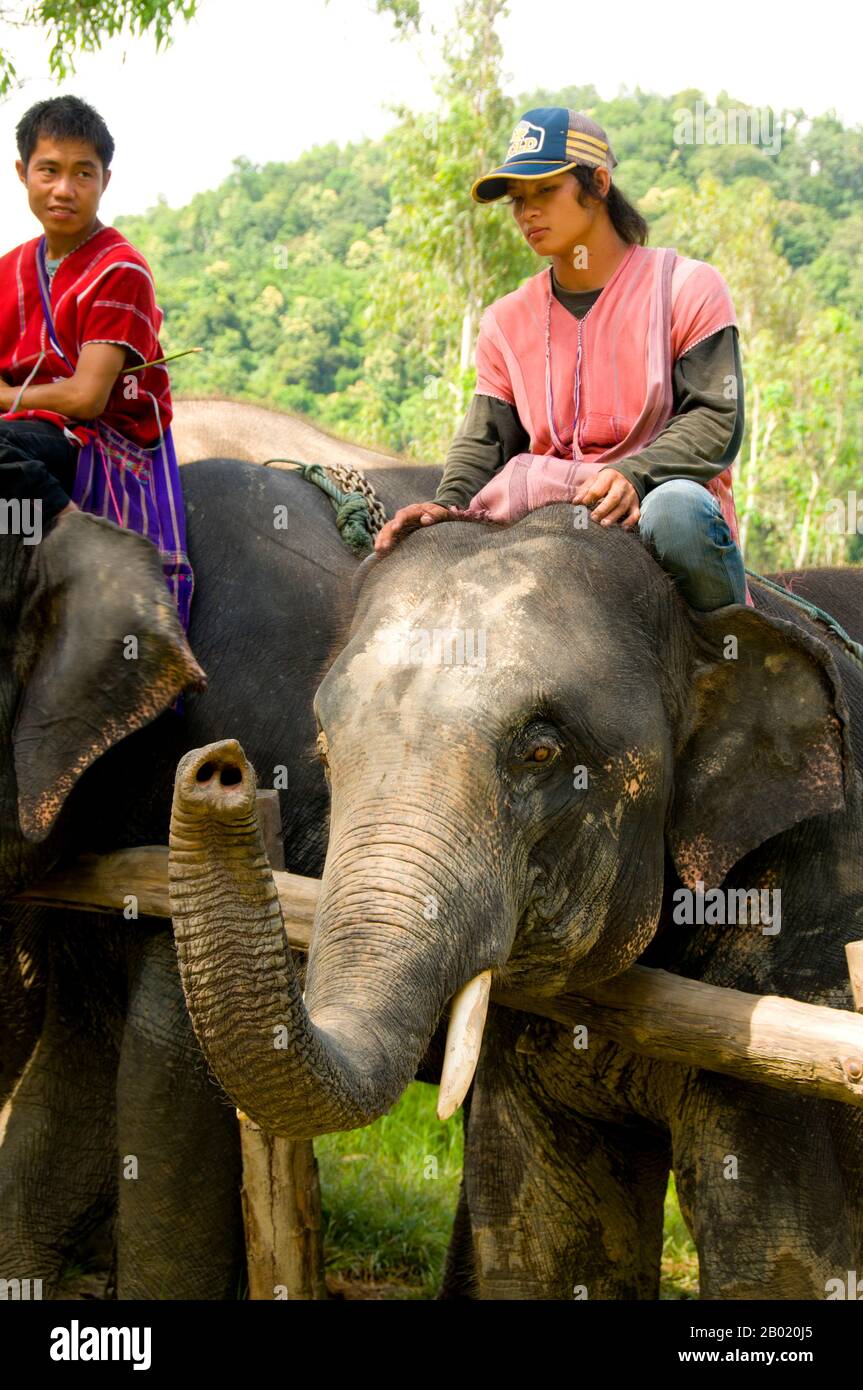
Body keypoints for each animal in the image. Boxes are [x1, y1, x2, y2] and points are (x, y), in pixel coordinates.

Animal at [167, 502, 863, 1300]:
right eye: (324, 747)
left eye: (539, 752)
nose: (217, 769)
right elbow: (547, 1248)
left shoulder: (809, 944)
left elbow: (784, 1261)